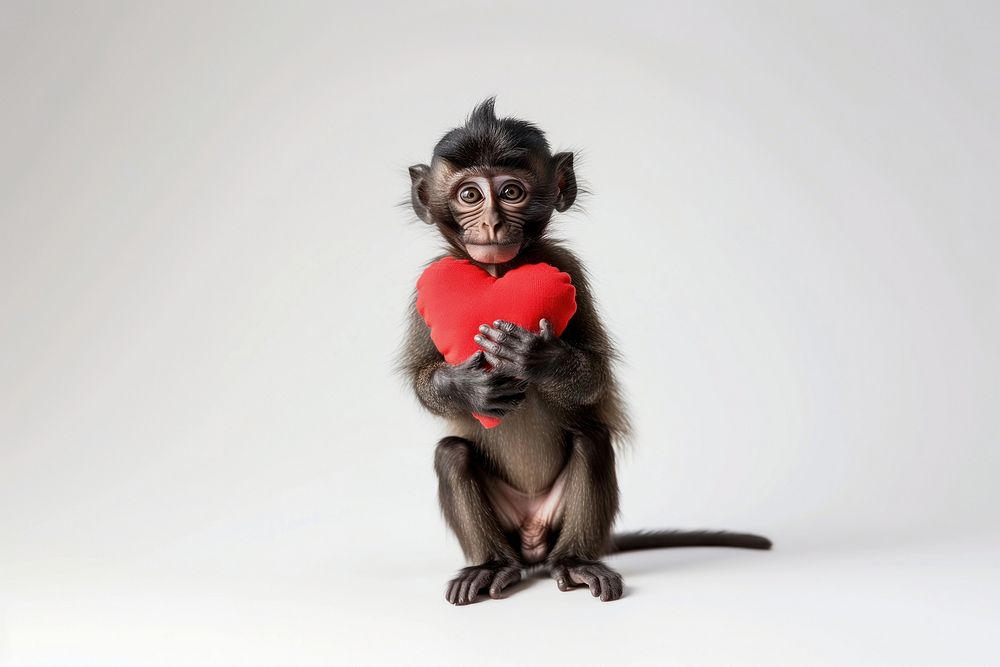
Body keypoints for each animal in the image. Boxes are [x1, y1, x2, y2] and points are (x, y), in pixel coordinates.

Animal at [399, 99, 771, 605]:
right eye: (469, 195)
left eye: (511, 192)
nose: (492, 223)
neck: (499, 275)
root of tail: (533, 544)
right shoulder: (431, 279)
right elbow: (421, 378)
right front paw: (468, 386)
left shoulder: (567, 268)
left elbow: (594, 375)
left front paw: (537, 358)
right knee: (453, 454)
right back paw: (492, 565)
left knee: (591, 441)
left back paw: (575, 561)